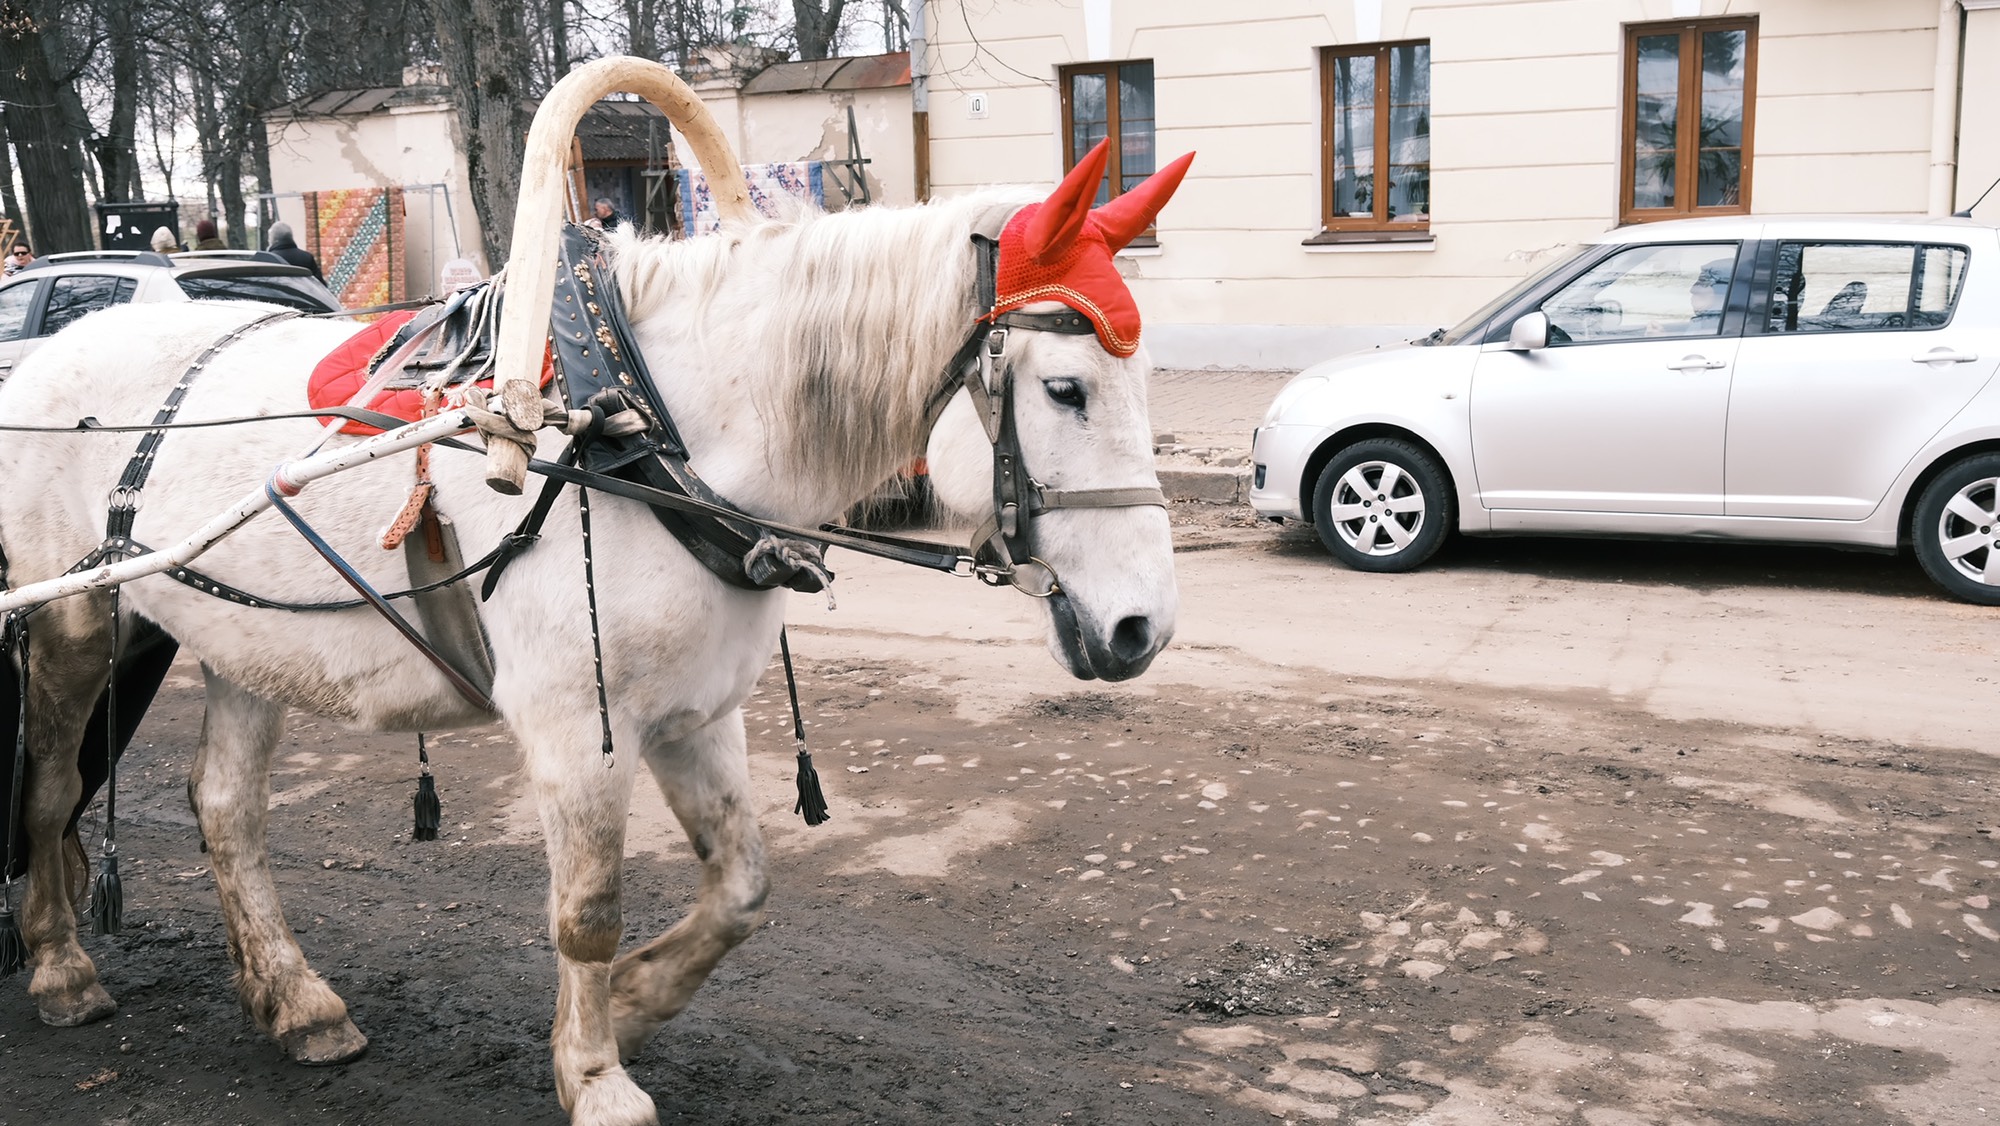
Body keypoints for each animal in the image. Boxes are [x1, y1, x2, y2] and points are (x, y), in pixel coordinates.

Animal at [0, 130, 1184, 1126]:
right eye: (1067, 389)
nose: (1144, 628)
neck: (643, 432)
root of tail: (54, 350)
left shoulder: (698, 714)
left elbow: (742, 885)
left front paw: (639, 1000)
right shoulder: (580, 728)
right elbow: (588, 909)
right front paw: (597, 1071)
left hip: (248, 641)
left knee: (226, 809)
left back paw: (298, 1002)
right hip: (72, 614)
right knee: (52, 790)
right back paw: (61, 968)